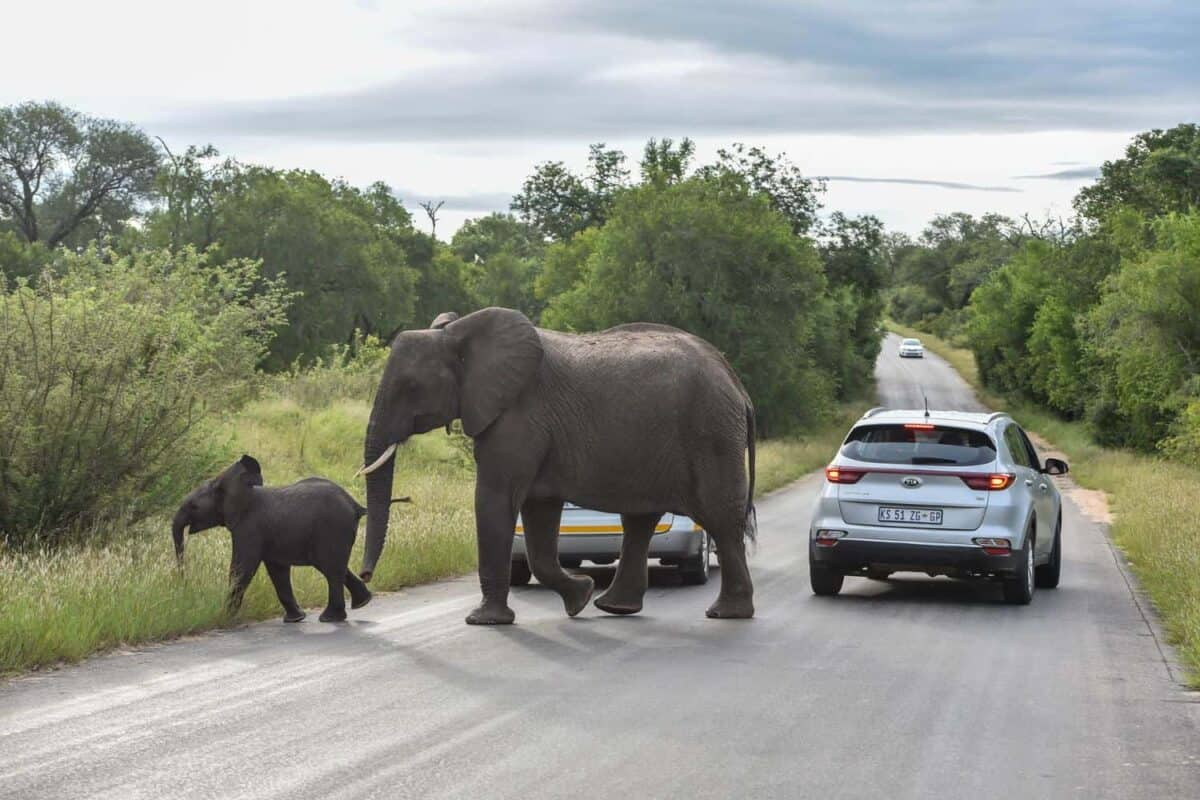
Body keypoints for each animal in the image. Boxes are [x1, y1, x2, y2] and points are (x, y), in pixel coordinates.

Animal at [172, 455, 393, 623]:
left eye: (193, 507)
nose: (184, 582)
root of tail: (355, 505)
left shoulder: (248, 528)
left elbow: (242, 568)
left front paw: (224, 618)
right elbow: (277, 571)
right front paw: (295, 619)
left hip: (332, 529)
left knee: (331, 569)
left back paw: (329, 618)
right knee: (336, 567)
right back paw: (362, 602)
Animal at [356, 307, 757, 625]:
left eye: (411, 387)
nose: (365, 577)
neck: (458, 334)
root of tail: (735, 382)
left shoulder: (519, 416)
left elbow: (495, 499)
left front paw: (483, 621)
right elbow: (538, 514)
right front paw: (580, 597)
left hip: (711, 432)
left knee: (720, 518)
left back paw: (726, 614)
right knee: (641, 520)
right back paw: (613, 607)